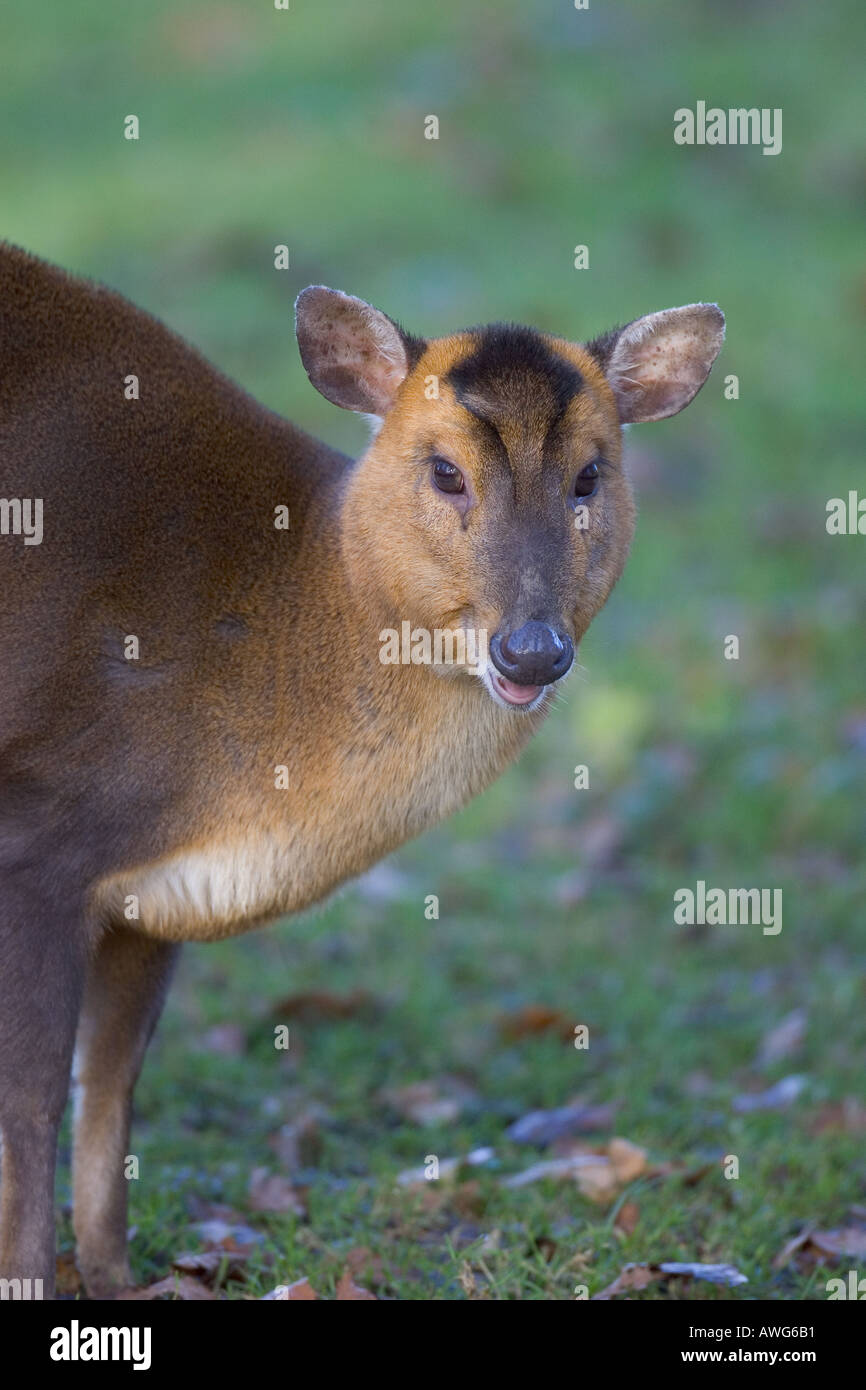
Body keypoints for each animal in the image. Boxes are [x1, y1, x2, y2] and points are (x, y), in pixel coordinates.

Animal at [0, 240, 724, 1298]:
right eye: (445, 471)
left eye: (591, 475)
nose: (532, 650)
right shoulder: (36, 834)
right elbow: (32, 1105)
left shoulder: (142, 900)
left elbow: (110, 1091)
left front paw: (116, 1280)